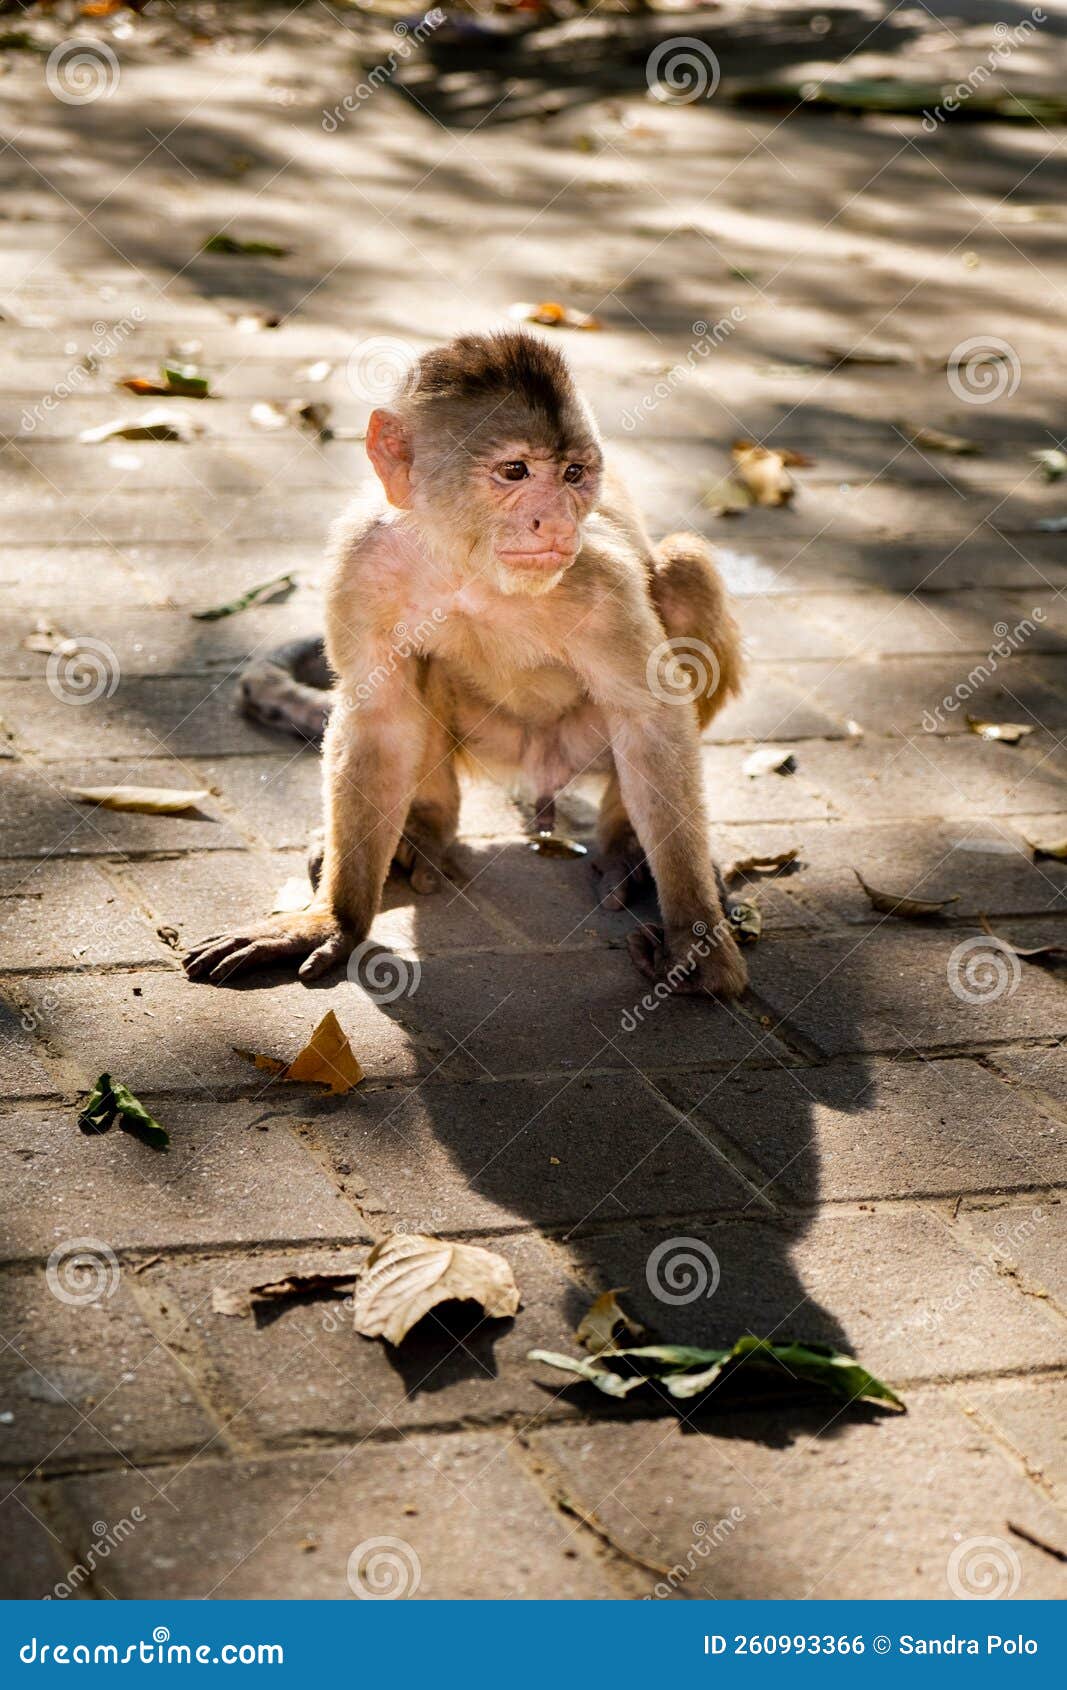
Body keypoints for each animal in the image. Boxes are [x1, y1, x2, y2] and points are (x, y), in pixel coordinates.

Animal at [184, 331, 748, 998]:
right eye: (514, 471)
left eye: (574, 474)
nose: (557, 520)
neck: (467, 567)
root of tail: (539, 778)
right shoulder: (361, 559)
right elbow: (379, 714)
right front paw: (335, 919)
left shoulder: (600, 579)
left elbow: (649, 717)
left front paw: (694, 940)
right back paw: (426, 828)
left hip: (576, 745)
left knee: (684, 570)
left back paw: (625, 841)